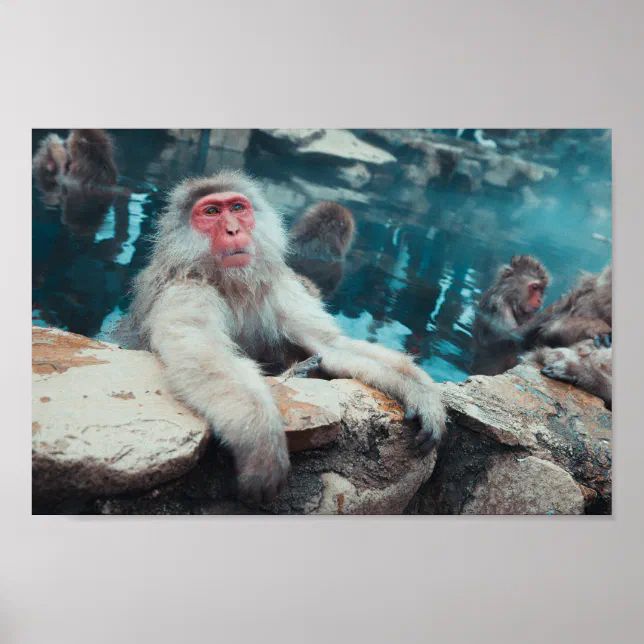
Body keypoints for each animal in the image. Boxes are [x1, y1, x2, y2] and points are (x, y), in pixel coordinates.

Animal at [121, 170, 446, 505]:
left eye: (237, 208)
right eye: (210, 212)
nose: (233, 229)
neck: (232, 285)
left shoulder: (278, 288)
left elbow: (331, 345)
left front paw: (419, 391)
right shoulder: (185, 289)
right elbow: (203, 353)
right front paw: (259, 437)